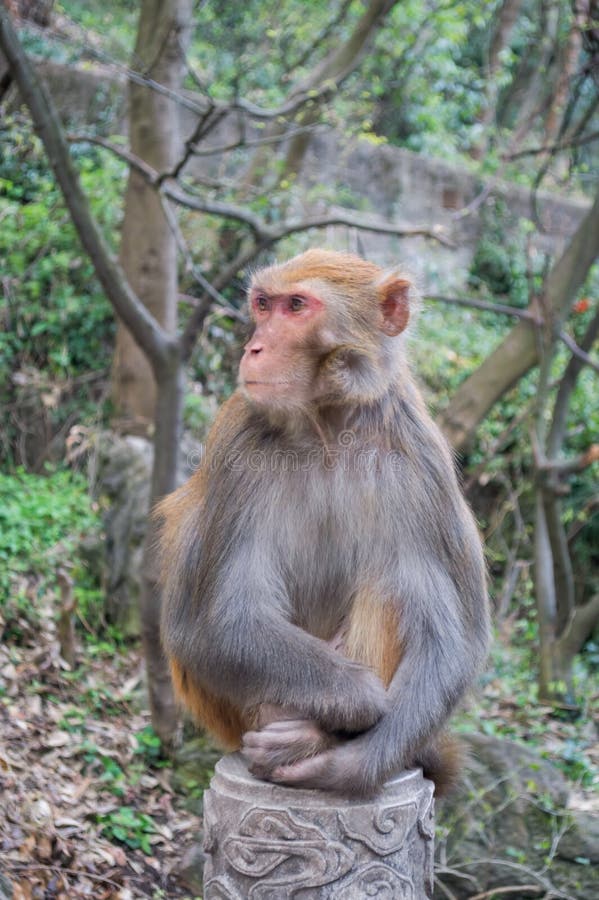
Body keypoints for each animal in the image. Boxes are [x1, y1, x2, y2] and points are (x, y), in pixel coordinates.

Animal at [157, 248, 489, 798]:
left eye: (296, 306)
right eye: (263, 304)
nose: (254, 347)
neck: (326, 426)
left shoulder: (419, 458)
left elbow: (456, 640)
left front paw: (346, 766)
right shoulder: (236, 446)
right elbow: (210, 623)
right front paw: (361, 700)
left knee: (393, 587)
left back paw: (315, 741)